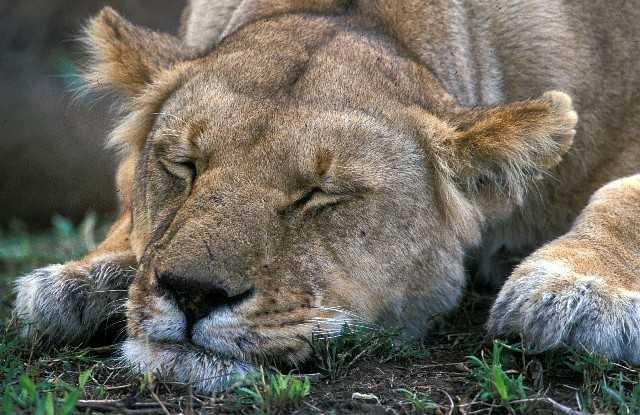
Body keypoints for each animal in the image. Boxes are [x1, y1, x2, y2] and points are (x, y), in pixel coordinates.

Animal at [13, 0, 640, 392]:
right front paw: (81, 278)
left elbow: (623, 196)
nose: (192, 293)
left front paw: (578, 293)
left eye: (320, 194)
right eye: (184, 165)